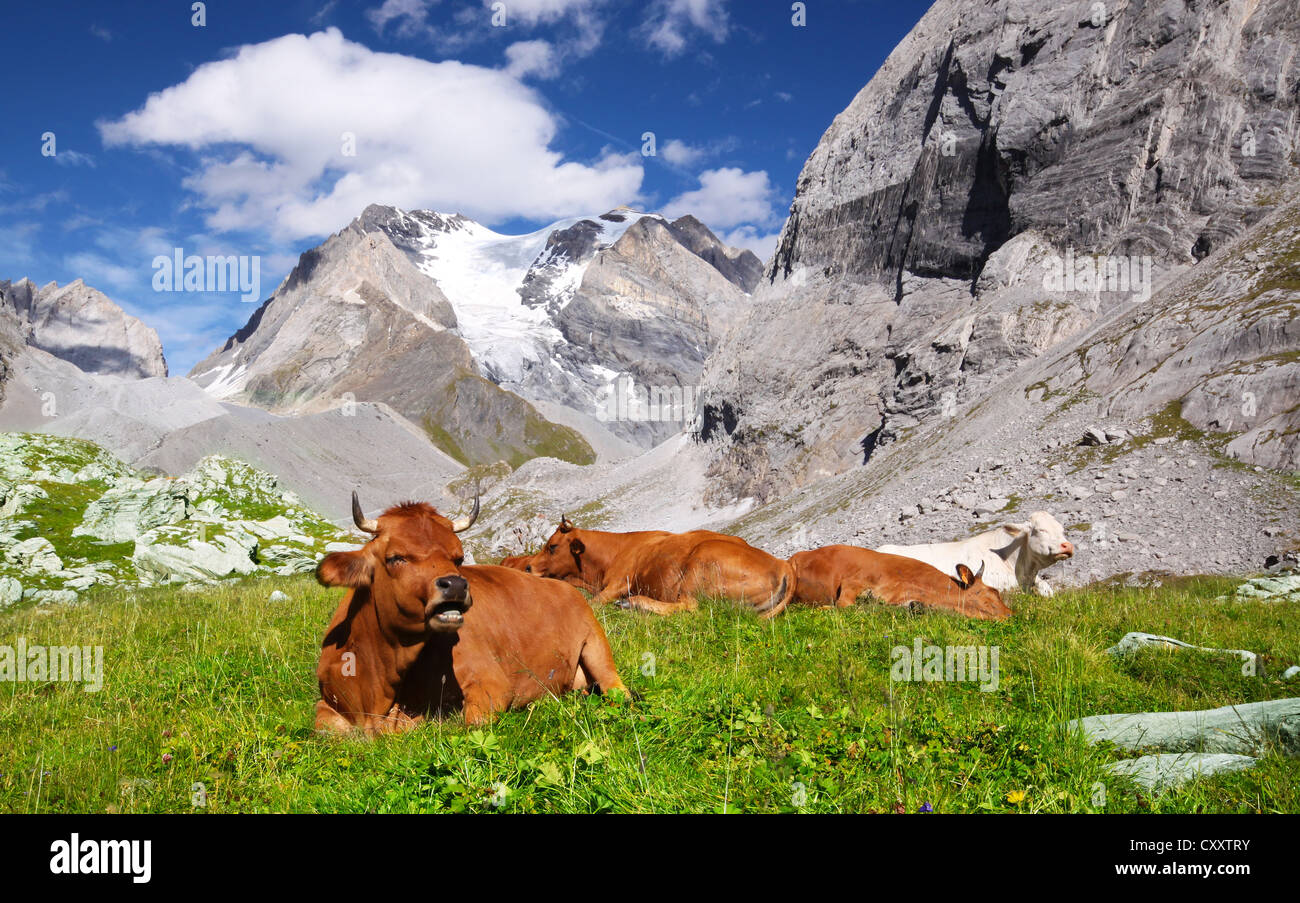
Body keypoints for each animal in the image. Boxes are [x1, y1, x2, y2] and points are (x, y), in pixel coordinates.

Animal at [314, 492, 626, 734]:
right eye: (395, 557)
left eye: (459, 558)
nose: (455, 585)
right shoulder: (326, 701)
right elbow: (325, 727)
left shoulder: (491, 685)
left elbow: (462, 723)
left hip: (596, 645)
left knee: (617, 691)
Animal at [526, 517, 795, 618]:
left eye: (552, 546)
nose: (528, 567)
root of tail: (783, 564)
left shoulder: (617, 584)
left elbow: (593, 603)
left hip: (700, 563)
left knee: (689, 607)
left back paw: (633, 603)